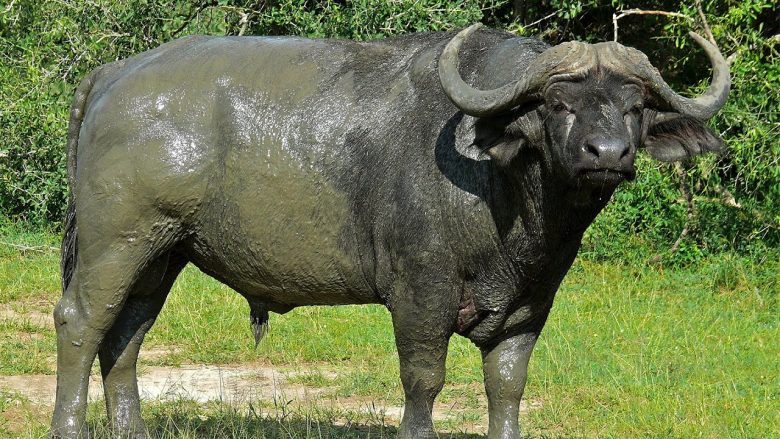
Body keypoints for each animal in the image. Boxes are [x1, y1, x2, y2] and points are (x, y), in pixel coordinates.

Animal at [51, 23, 729, 438]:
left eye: (635, 107)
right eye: (558, 105)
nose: (607, 153)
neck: (500, 186)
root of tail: (114, 75)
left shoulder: (530, 305)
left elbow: (507, 386)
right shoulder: (420, 293)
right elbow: (424, 380)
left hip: (162, 253)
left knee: (126, 336)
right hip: (117, 242)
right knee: (80, 322)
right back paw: (67, 425)